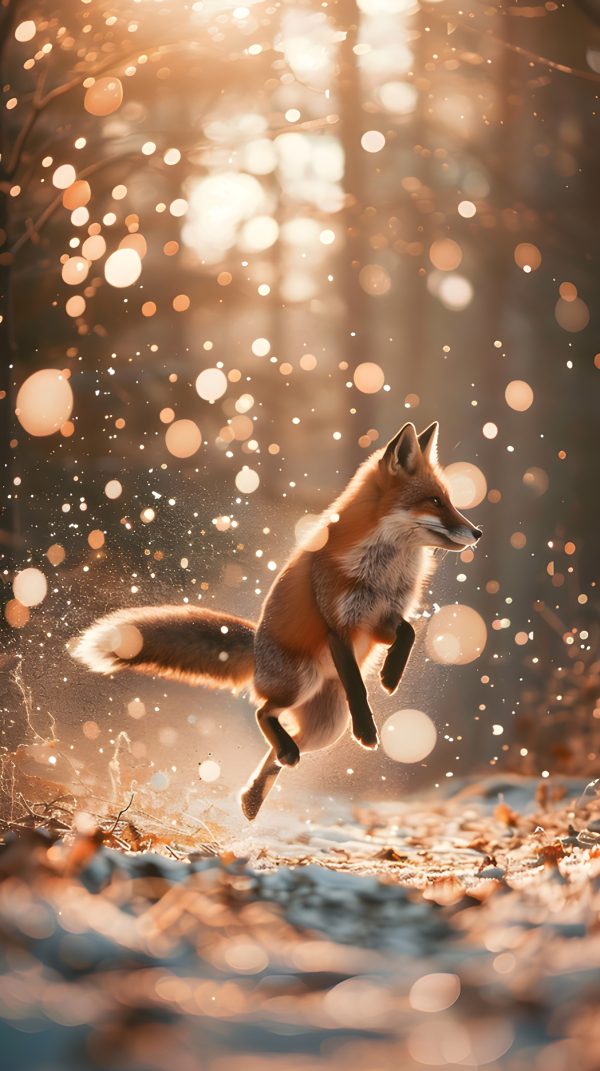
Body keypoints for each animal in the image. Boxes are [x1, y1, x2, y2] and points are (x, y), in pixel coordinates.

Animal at [72, 422, 482, 820]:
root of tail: (256, 648)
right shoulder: (338, 625)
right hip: (303, 683)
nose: (477, 532)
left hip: (328, 726)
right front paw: (367, 726)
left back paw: (253, 798)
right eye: (435, 501)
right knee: (263, 712)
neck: (387, 573)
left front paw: (391, 677)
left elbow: (408, 632)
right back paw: (274, 767)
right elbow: (357, 685)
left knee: (281, 746)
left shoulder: (381, 623)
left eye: (449, 499)